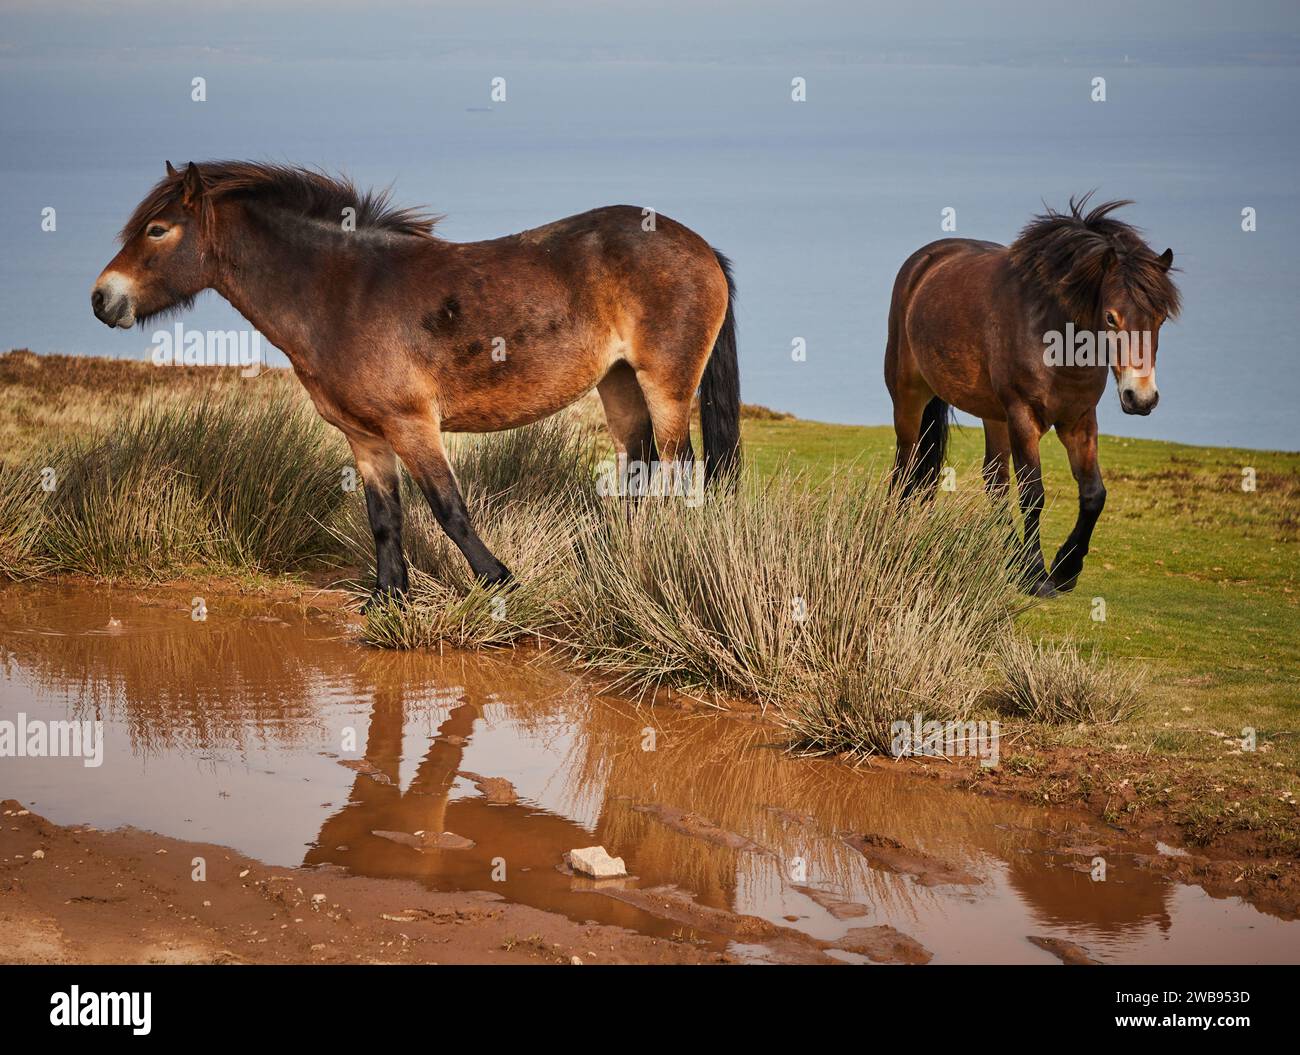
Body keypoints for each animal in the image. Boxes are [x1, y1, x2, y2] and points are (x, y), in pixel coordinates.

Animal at [92, 161, 741, 603]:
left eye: (157, 230)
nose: (102, 298)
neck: (341, 292)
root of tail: (699, 247)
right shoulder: (365, 435)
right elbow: (385, 517)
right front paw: (389, 598)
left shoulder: (412, 424)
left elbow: (449, 509)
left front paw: (498, 584)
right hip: (620, 384)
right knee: (640, 468)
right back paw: (621, 565)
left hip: (666, 387)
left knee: (678, 472)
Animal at [884, 195, 1180, 596]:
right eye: (1111, 317)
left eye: (1160, 317)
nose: (1141, 398)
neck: (1052, 335)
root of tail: (923, 263)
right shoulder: (1023, 416)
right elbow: (1033, 494)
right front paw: (1037, 575)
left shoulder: (1079, 420)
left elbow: (1093, 494)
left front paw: (1066, 569)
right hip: (910, 396)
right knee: (905, 464)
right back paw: (895, 531)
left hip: (994, 416)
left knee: (994, 481)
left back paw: (1011, 558)